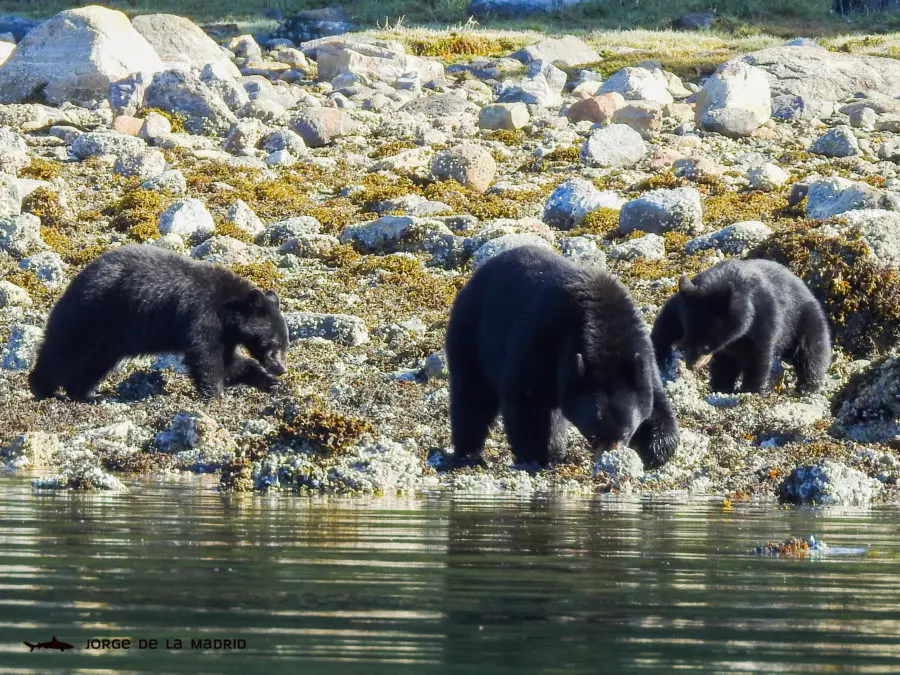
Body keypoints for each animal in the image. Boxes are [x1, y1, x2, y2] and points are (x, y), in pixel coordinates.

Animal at [29, 244, 288, 398]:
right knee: (63, 350)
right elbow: (206, 357)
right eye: (274, 343)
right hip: (91, 314)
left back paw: (84, 394)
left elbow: (230, 362)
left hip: (110, 338)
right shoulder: (201, 314)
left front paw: (268, 382)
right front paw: (214, 395)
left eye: (286, 344)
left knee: (95, 363)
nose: (281, 369)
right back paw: (42, 388)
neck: (228, 311)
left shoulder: (225, 333)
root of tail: (74, 282)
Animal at [446, 243, 680, 470]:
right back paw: (470, 453)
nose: (606, 458)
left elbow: (656, 399)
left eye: (625, 433)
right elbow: (525, 397)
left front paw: (657, 450)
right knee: (472, 396)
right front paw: (537, 455)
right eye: (593, 435)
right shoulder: (541, 337)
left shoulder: (642, 351)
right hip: (470, 335)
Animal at [652, 258, 832, 396]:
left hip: (805, 320)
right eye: (687, 342)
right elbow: (665, 326)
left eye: (706, 347)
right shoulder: (681, 306)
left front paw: (750, 391)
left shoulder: (763, 318)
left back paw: (807, 388)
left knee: (812, 352)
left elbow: (758, 357)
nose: (691, 366)